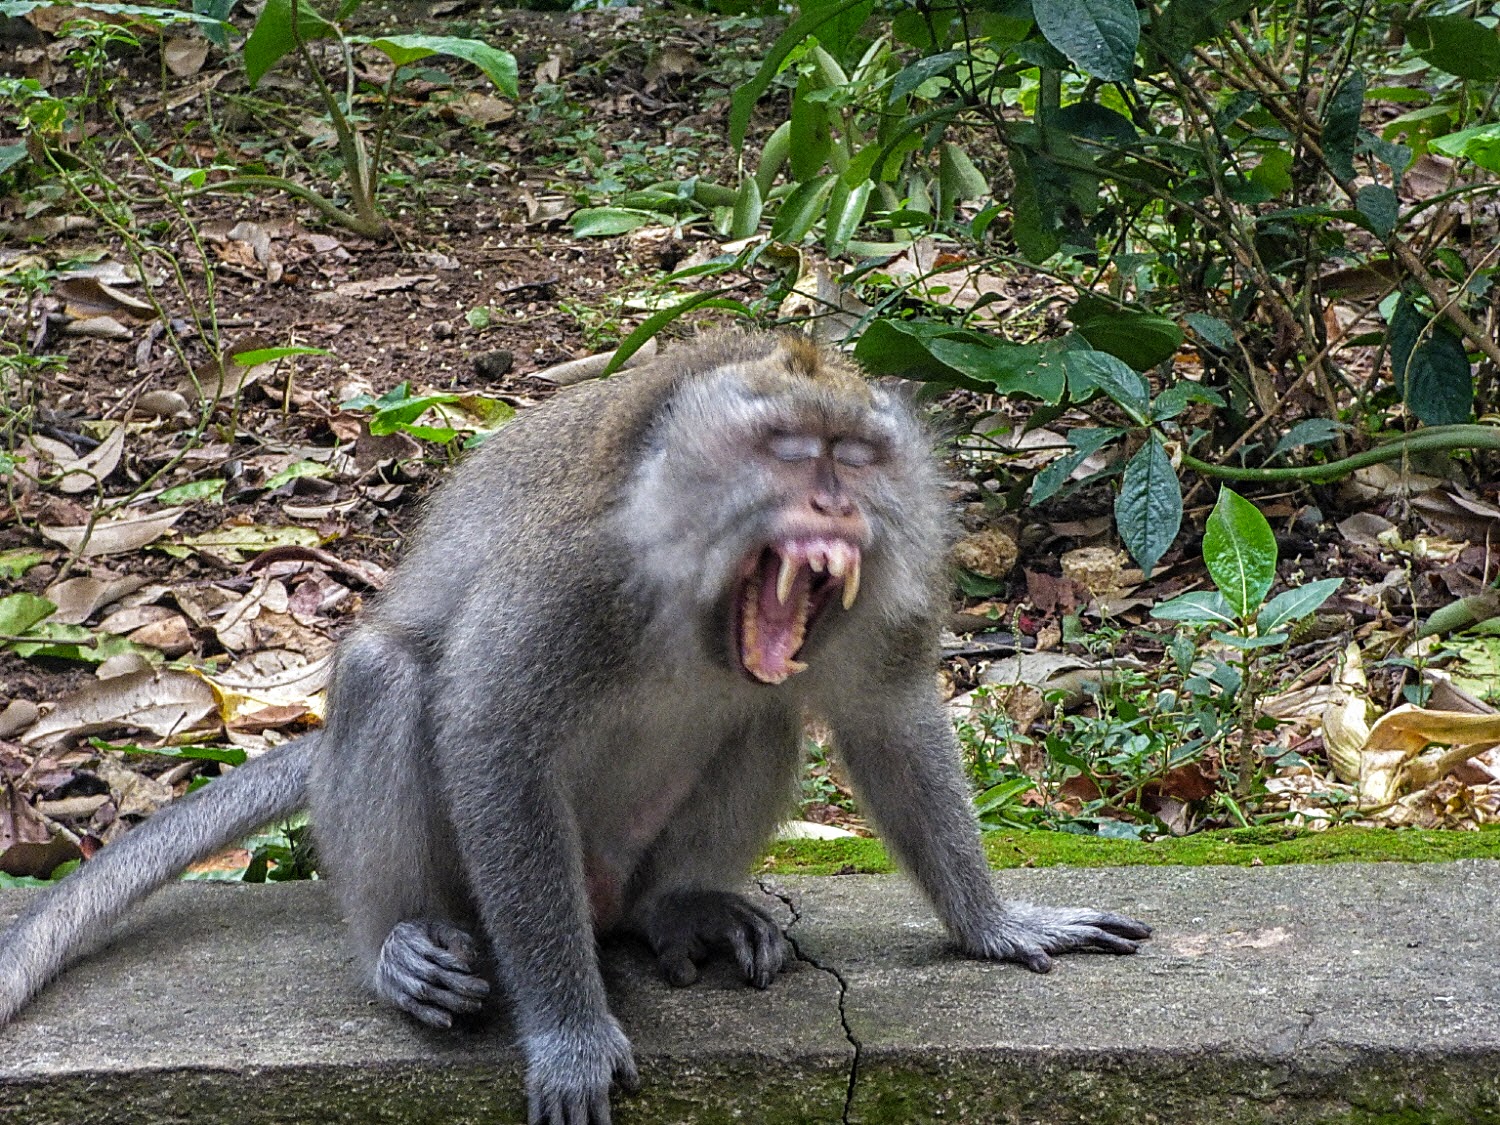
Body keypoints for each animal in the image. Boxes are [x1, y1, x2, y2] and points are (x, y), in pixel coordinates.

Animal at [0, 331, 1150, 1125]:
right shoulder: (575, 573)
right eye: (790, 453)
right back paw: (399, 948)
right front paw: (568, 1035)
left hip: (634, 859)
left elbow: (888, 719)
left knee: (765, 716)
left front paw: (999, 925)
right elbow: (490, 734)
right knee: (389, 677)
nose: (838, 509)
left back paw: (676, 909)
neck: (694, 589)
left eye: (859, 458)